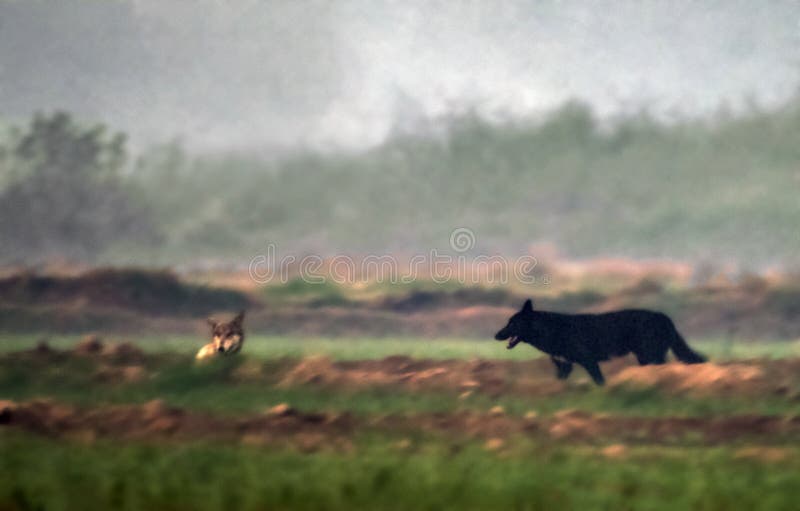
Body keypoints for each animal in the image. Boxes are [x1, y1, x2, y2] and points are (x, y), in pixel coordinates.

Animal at [494, 299, 705, 385]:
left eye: (512, 323)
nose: (496, 335)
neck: (552, 329)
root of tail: (664, 317)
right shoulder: (565, 367)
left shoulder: (589, 362)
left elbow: (599, 381)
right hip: (645, 358)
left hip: (649, 356)